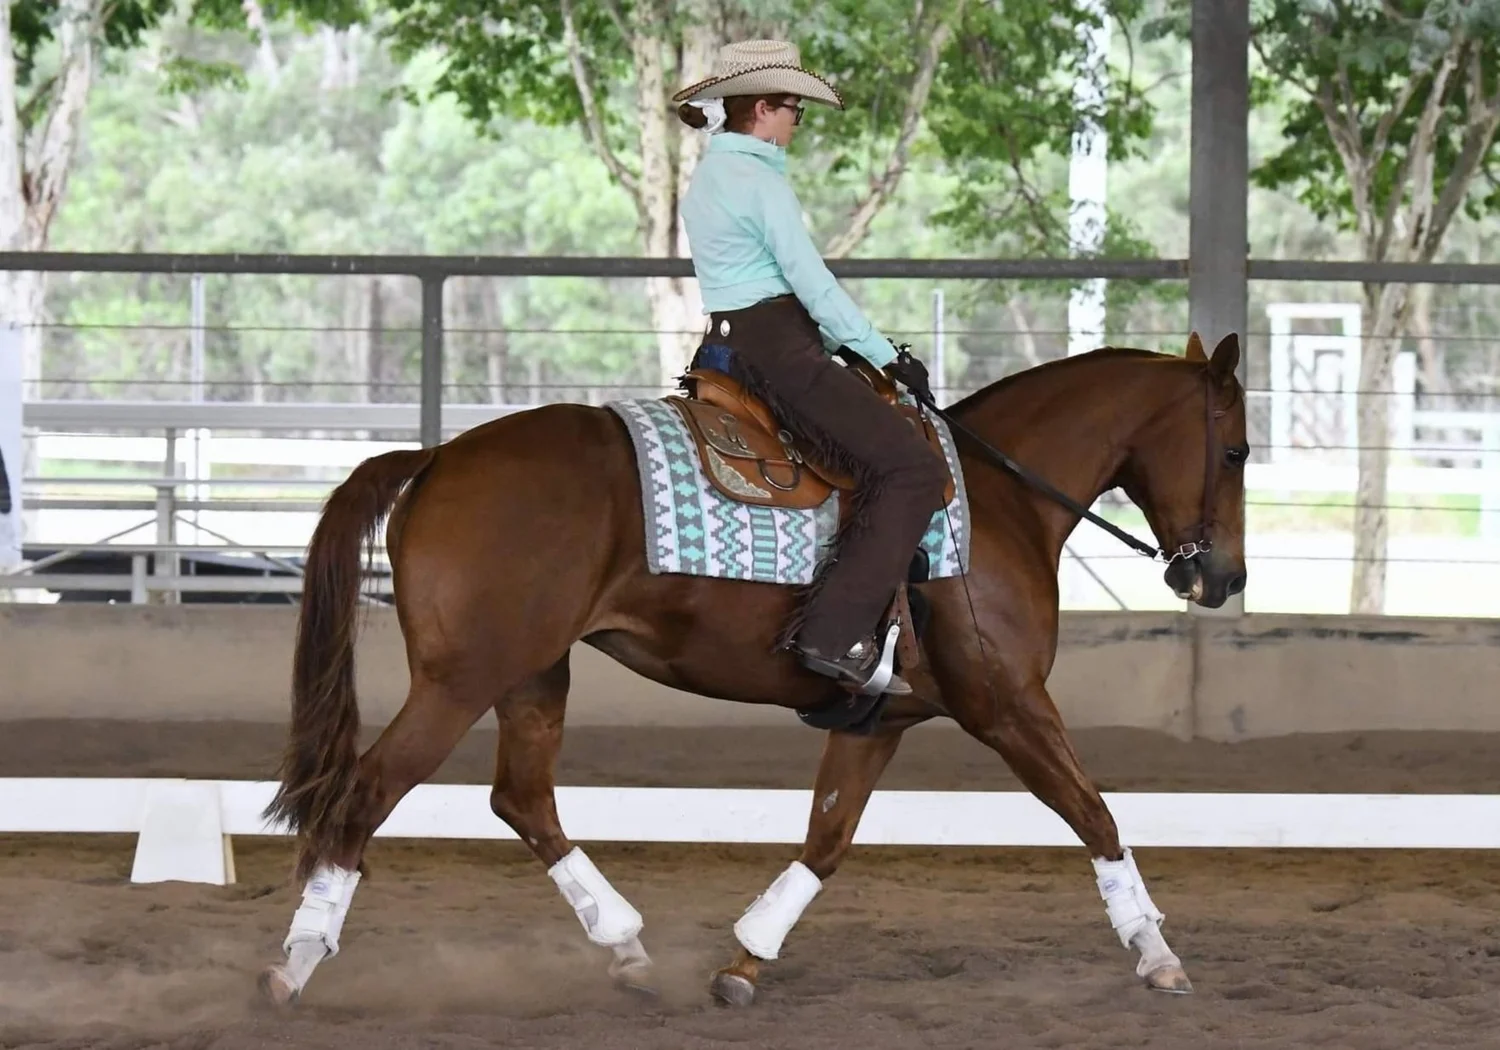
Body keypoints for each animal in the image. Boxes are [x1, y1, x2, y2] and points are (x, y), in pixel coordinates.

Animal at [255, 329, 1247, 1009]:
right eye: (1235, 448)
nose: (1223, 578)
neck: (1000, 504)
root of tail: (438, 456)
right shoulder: (1009, 706)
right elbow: (1096, 814)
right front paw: (1157, 953)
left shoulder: (880, 721)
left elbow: (826, 841)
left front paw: (744, 960)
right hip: (459, 682)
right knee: (364, 794)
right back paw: (296, 964)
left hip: (531, 676)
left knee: (522, 800)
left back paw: (626, 947)